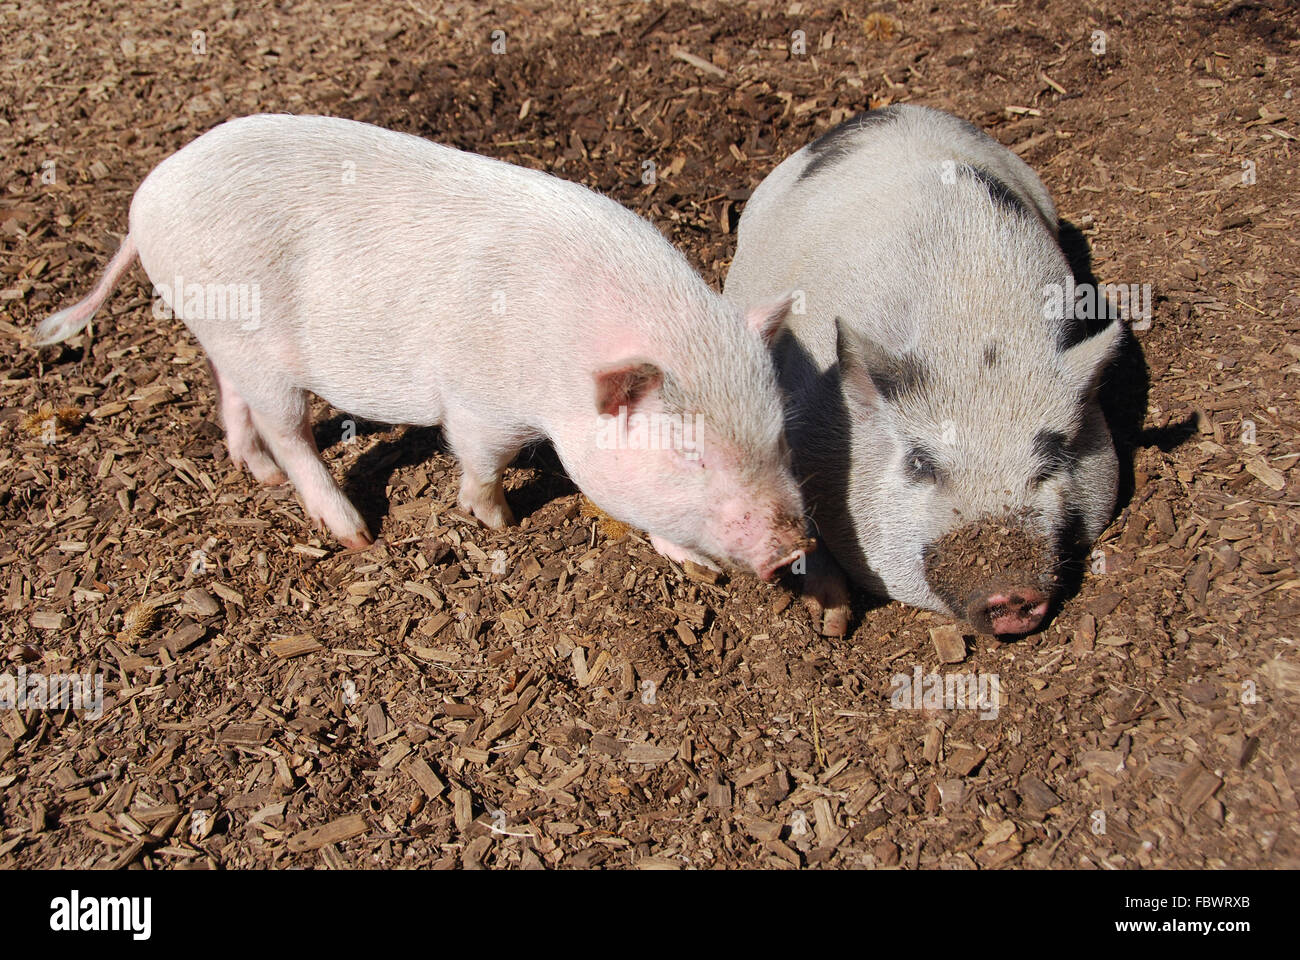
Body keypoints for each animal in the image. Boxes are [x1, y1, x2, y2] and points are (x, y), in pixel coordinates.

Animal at [35, 113, 810, 581]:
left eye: (778, 436)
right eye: (691, 453)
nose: (795, 549)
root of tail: (144, 202)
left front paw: (697, 565)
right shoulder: (478, 402)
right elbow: (482, 462)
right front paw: (498, 522)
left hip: (220, 332)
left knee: (232, 399)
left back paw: (256, 475)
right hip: (256, 345)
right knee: (289, 431)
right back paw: (354, 533)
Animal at [725, 105, 1124, 635]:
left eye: (1052, 461)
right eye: (920, 463)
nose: (1011, 592)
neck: (973, 334)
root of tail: (890, 112)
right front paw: (833, 623)